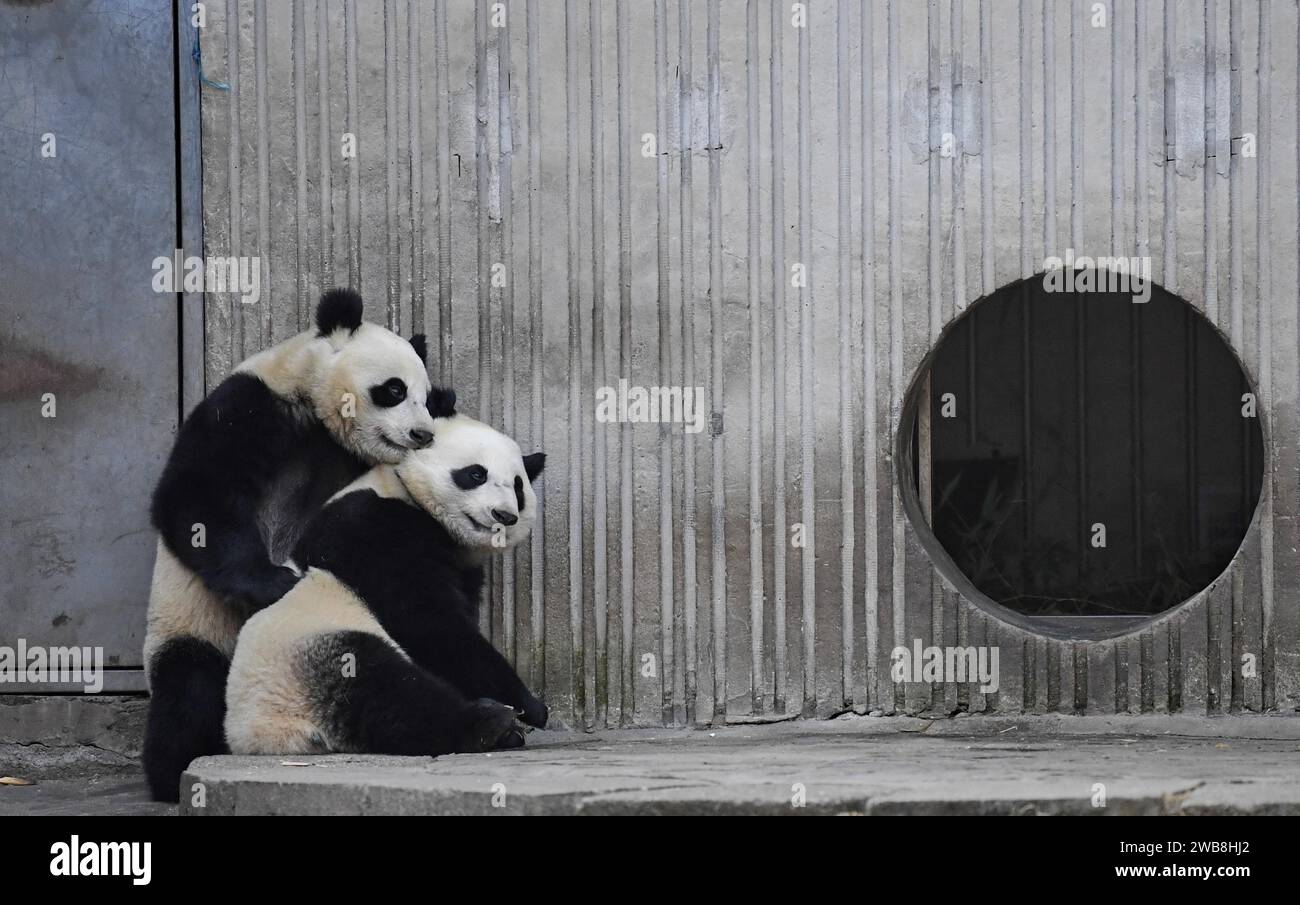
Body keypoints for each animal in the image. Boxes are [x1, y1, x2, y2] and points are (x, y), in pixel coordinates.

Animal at [143, 288, 440, 801]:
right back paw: (170, 770)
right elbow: (195, 497)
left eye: (424, 395)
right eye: (395, 390)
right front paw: (274, 582)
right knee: (188, 691)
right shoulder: (250, 407)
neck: (318, 416)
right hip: (193, 623)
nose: (421, 434)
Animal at [224, 409, 548, 758]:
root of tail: (267, 737)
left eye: (518, 488)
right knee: (385, 691)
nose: (504, 515)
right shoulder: (369, 527)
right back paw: (491, 722)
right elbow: (429, 624)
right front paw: (530, 705)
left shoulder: (464, 569)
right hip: (304, 656)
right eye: (475, 474)